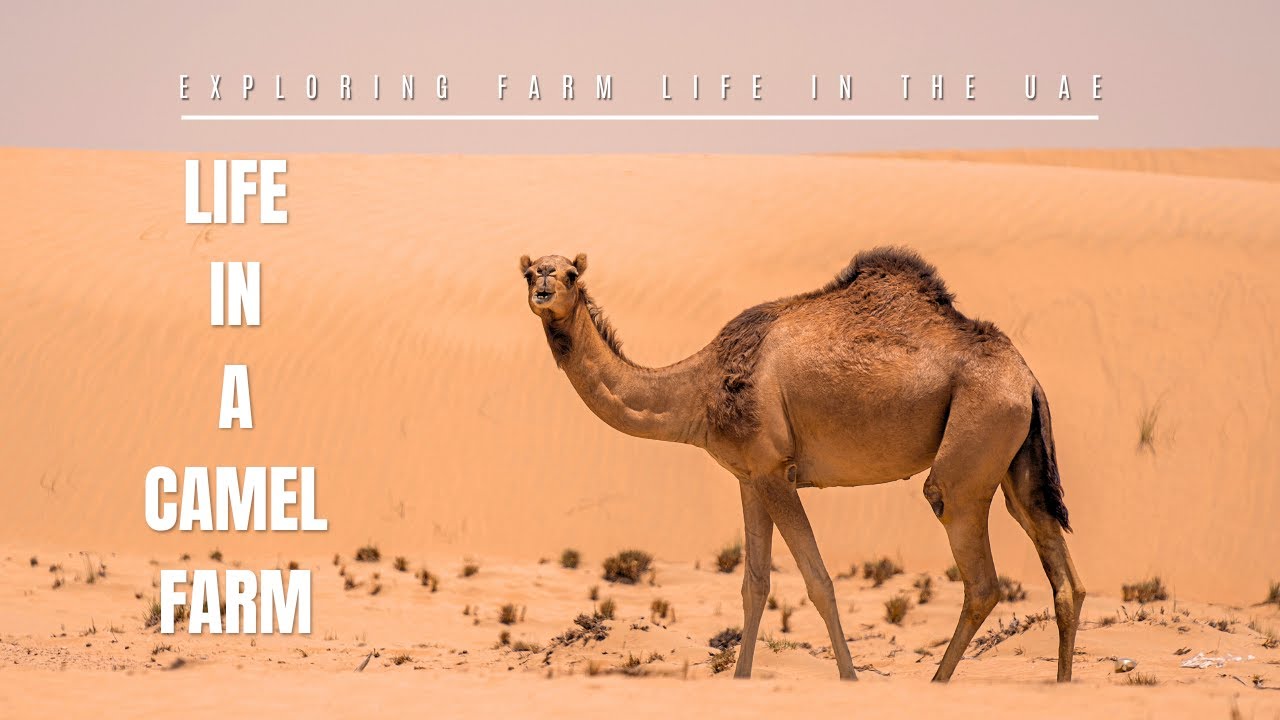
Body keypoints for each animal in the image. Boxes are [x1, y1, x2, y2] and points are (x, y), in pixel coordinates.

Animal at [519, 247, 1085, 683]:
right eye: (530, 272)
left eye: (570, 274)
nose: (543, 284)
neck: (697, 390)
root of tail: (1027, 378)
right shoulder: (748, 477)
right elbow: (754, 585)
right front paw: (742, 679)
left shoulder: (775, 472)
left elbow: (818, 581)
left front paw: (850, 678)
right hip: (1016, 459)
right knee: (1060, 569)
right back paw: (1061, 685)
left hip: (974, 442)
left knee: (978, 572)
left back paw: (937, 683)